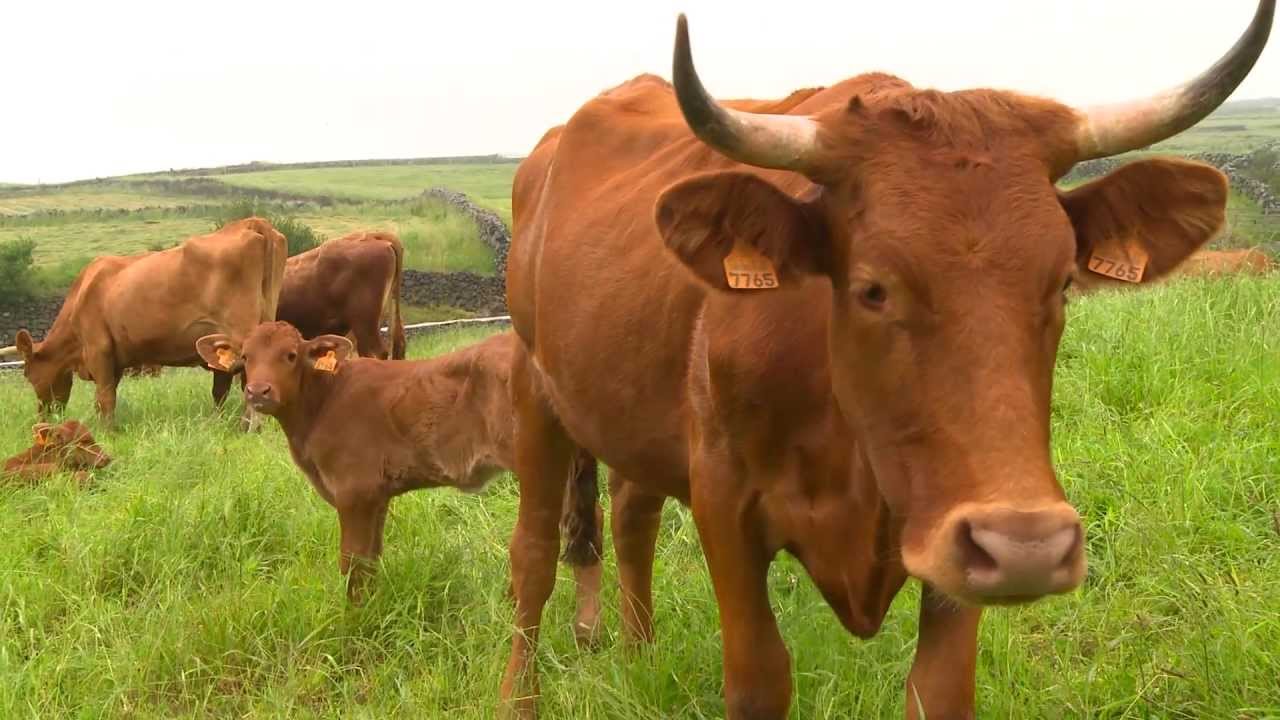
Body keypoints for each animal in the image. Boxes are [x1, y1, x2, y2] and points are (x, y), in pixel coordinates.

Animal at [5, 218, 287, 427]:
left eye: (28, 375)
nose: (43, 419)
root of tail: (250, 223)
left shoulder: (98, 350)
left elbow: (104, 398)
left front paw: (108, 432)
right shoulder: (115, 358)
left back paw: (250, 426)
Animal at [192, 322, 604, 638]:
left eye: (290, 355)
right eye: (246, 357)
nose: (257, 391)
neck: (322, 402)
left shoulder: (354, 491)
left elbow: (353, 562)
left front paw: (353, 622)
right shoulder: (377, 496)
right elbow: (371, 558)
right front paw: (371, 610)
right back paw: (587, 632)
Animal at [498, 5, 1273, 719]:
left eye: (1061, 283)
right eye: (873, 287)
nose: (1027, 547)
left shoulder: (952, 521)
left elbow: (939, 688)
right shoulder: (723, 499)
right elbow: (758, 678)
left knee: (633, 517)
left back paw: (638, 658)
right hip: (534, 390)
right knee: (533, 555)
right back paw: (519, 697)